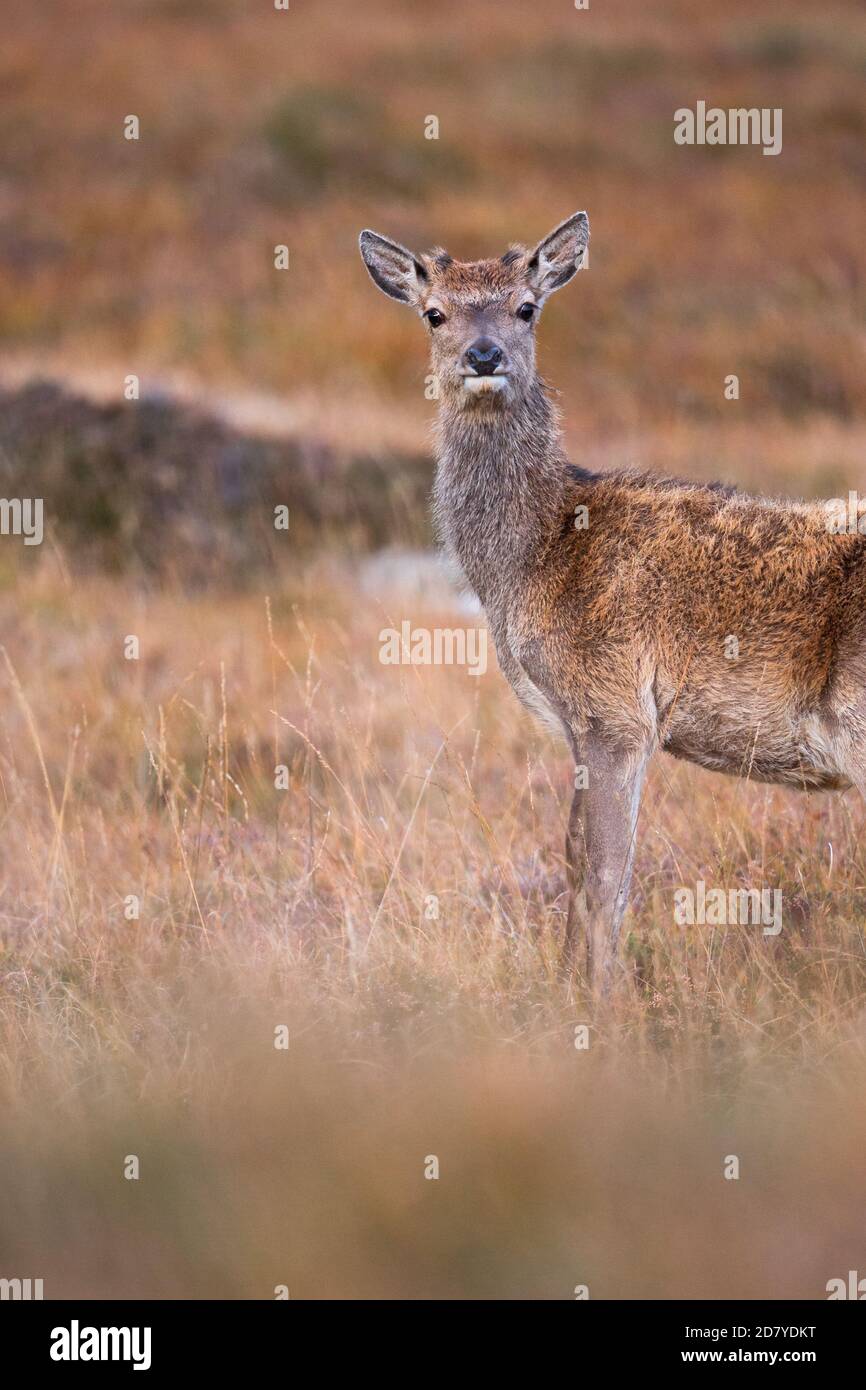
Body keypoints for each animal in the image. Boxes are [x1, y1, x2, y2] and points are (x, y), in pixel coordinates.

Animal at [359, 212, 866, 990]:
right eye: (433, 312)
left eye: (526, 307)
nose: (483, 354)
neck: (534, 559)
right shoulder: (578, 722)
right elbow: (575, 858)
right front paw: (568, 985)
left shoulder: (616, 707)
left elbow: (604, 874)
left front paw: (597, 998)